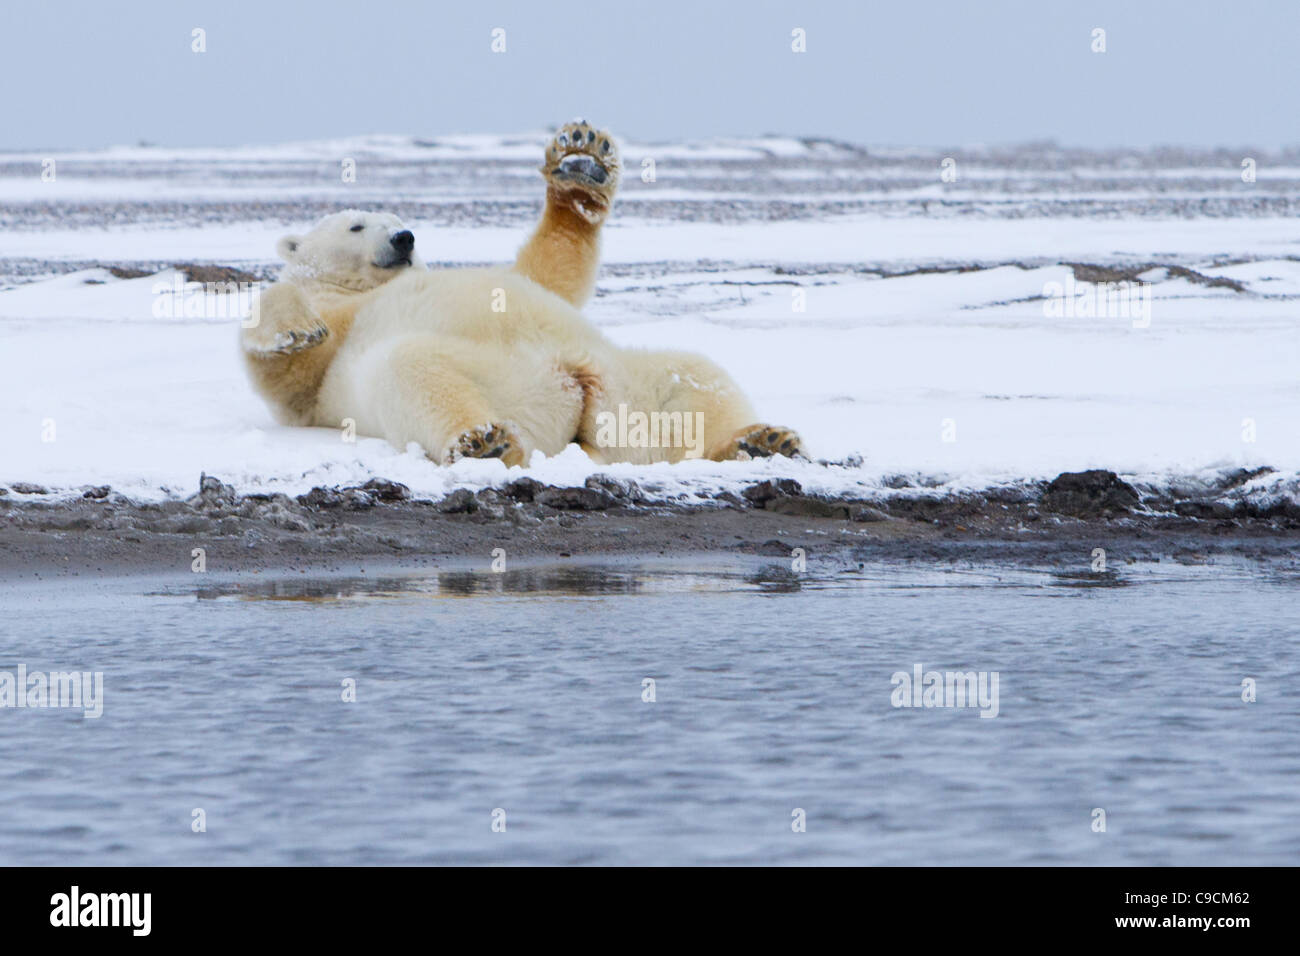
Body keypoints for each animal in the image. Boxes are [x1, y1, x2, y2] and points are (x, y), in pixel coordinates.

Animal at [240, 120, 802, 467]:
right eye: (357, 225)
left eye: (399, 219)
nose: (405, 238)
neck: (357, 288)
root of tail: (574, 408)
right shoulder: (321, 373)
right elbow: (295, 368)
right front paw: (296, 329)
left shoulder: (524, 282)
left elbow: (549, 269)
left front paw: (582, 161)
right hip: (507, 384)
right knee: (414, 370)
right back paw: (483, 442)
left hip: (625, 381)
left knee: (694, 380)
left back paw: (761, 440)